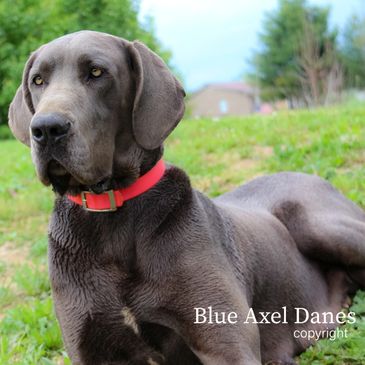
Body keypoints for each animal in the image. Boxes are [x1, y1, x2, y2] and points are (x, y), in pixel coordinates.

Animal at [8, 29, 364, 362]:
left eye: (96, 72)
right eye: (38, 80)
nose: (46, 128)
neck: (112, 219)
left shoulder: (225, 343)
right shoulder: (91, 348)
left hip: (317, 224)